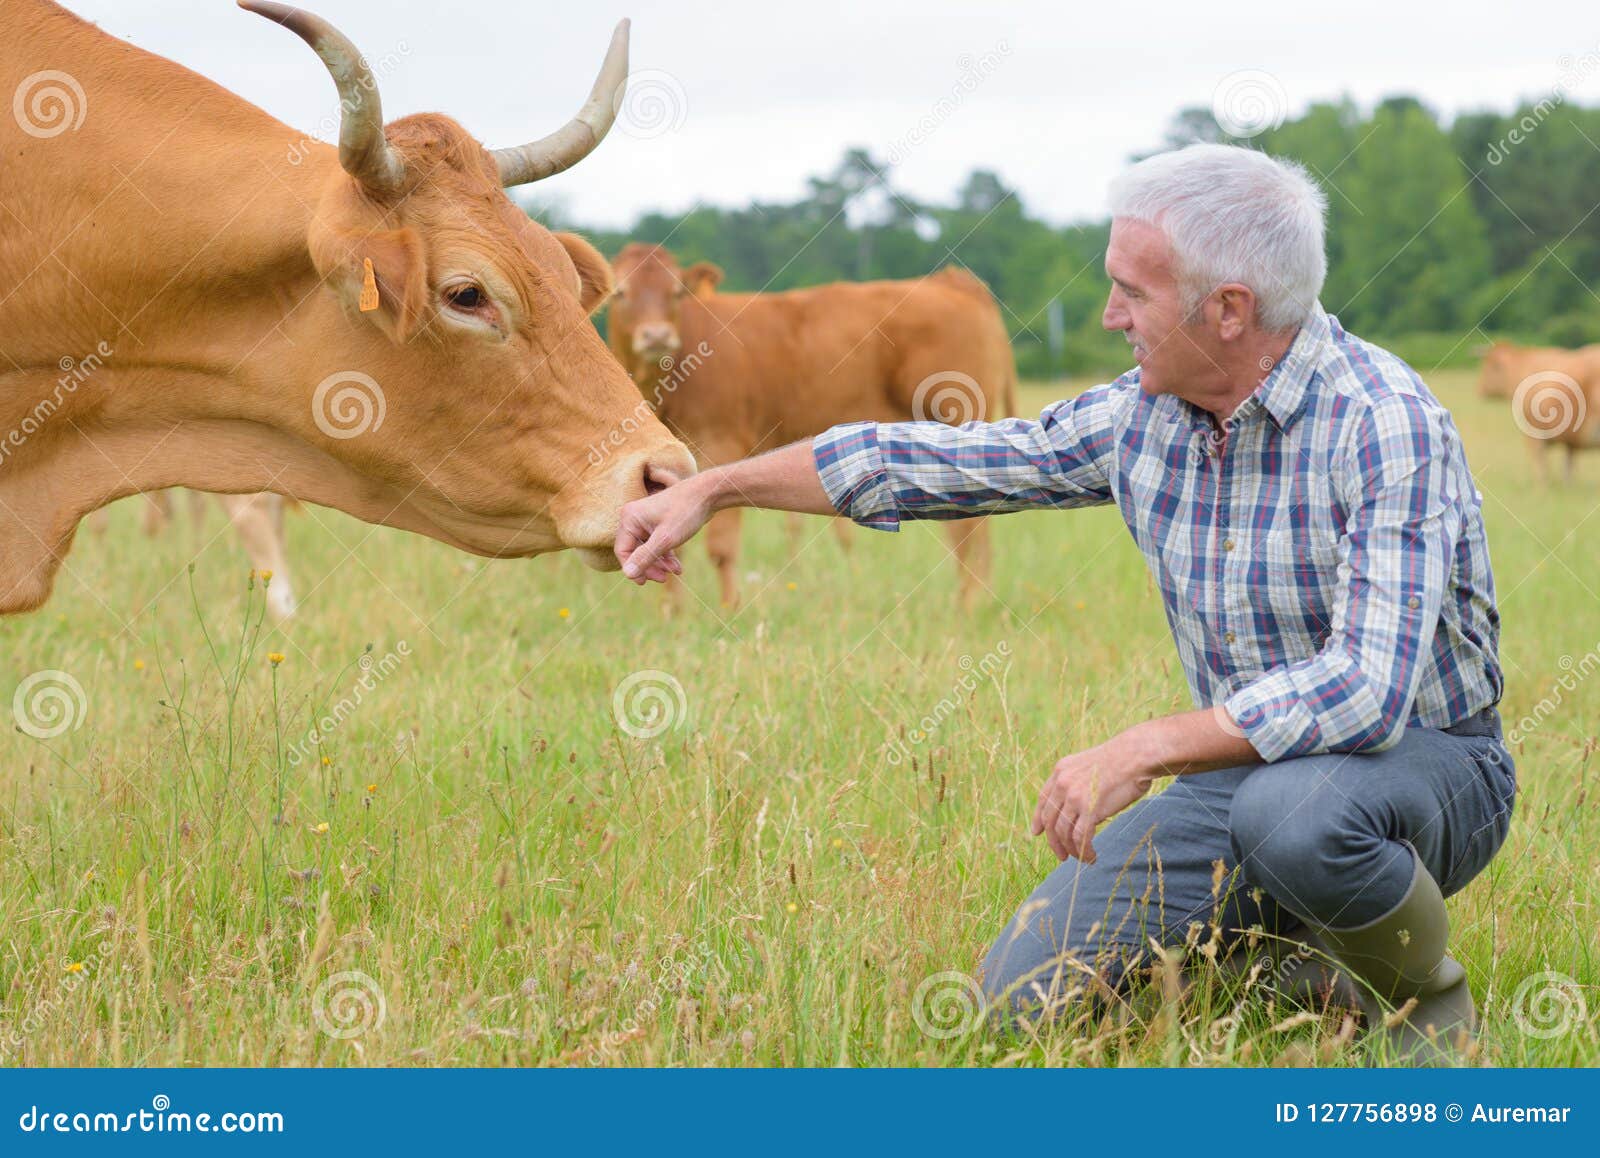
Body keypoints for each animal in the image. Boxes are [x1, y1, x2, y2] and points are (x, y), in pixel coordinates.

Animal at [606, 244, 1017, 609]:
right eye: (619, 292)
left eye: (677, 291)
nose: (656, 336)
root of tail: (951, 281)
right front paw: (672, 612)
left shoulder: (719, 441)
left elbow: (720, 545)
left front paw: (728, 609)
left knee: (969, 527)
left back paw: (968, 602)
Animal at [1476, 341, 1600, 483]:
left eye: (1487, 366)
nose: (1479, 389)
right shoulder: (1570, 439)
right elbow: (1567, 466)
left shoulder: (1533, 432)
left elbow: (1541, 463)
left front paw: (1541, 485)